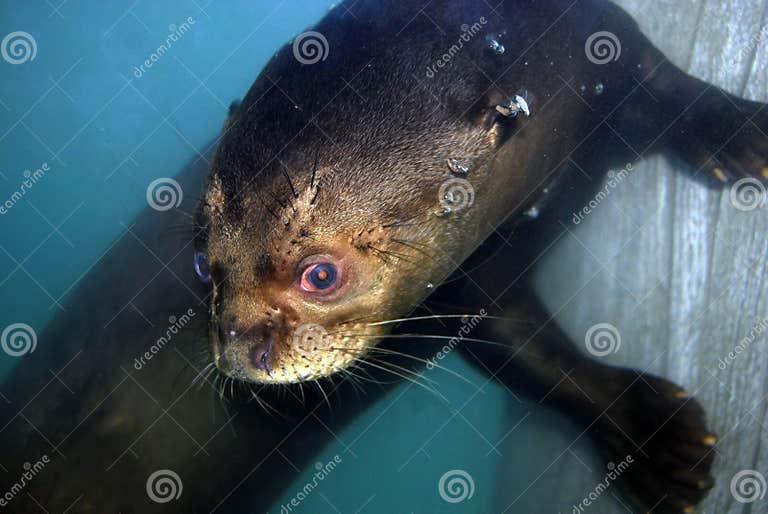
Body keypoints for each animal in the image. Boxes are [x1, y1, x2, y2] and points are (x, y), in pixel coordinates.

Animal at [1, 0, 766, 513]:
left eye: (319, 274)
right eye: (198, 263)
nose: (237, 348)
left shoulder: (597, 48)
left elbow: (664, 84)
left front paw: (738, 132)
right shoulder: (468, 281)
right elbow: (529, 356)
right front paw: (656, 441)